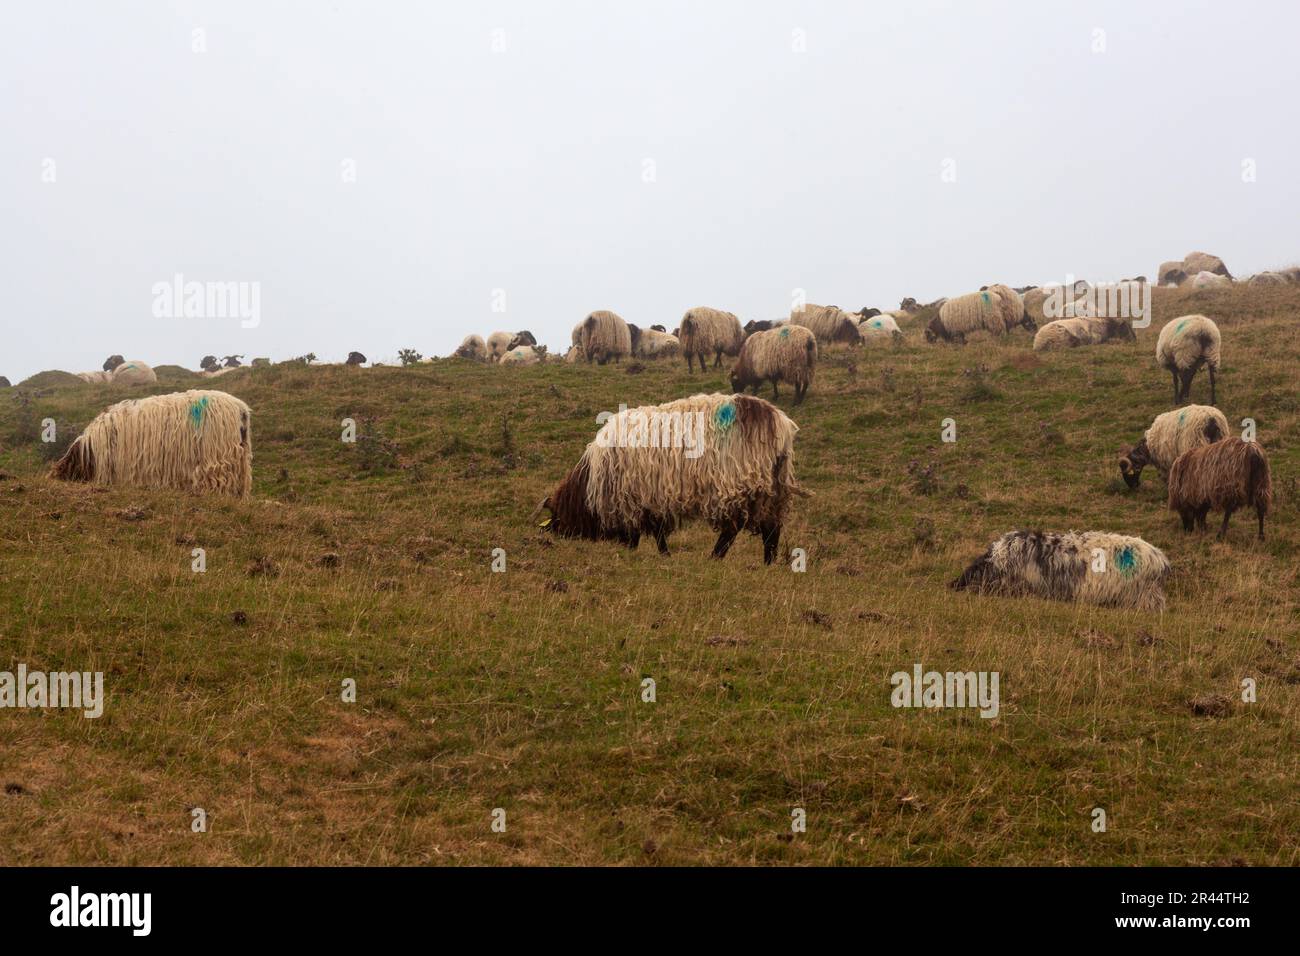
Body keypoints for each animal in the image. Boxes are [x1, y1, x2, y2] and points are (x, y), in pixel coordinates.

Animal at [535, 393, 804, 563]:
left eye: (556, 516)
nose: (555, 536)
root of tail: (778, 423)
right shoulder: (650, 497)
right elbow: (654, 530)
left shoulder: (635, 497)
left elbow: (644, 531)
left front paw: (646, 553)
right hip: (770, 486)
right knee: (771, 527)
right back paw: (768, 562)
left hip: (735, 482)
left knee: (733, 527)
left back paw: (714, 557)